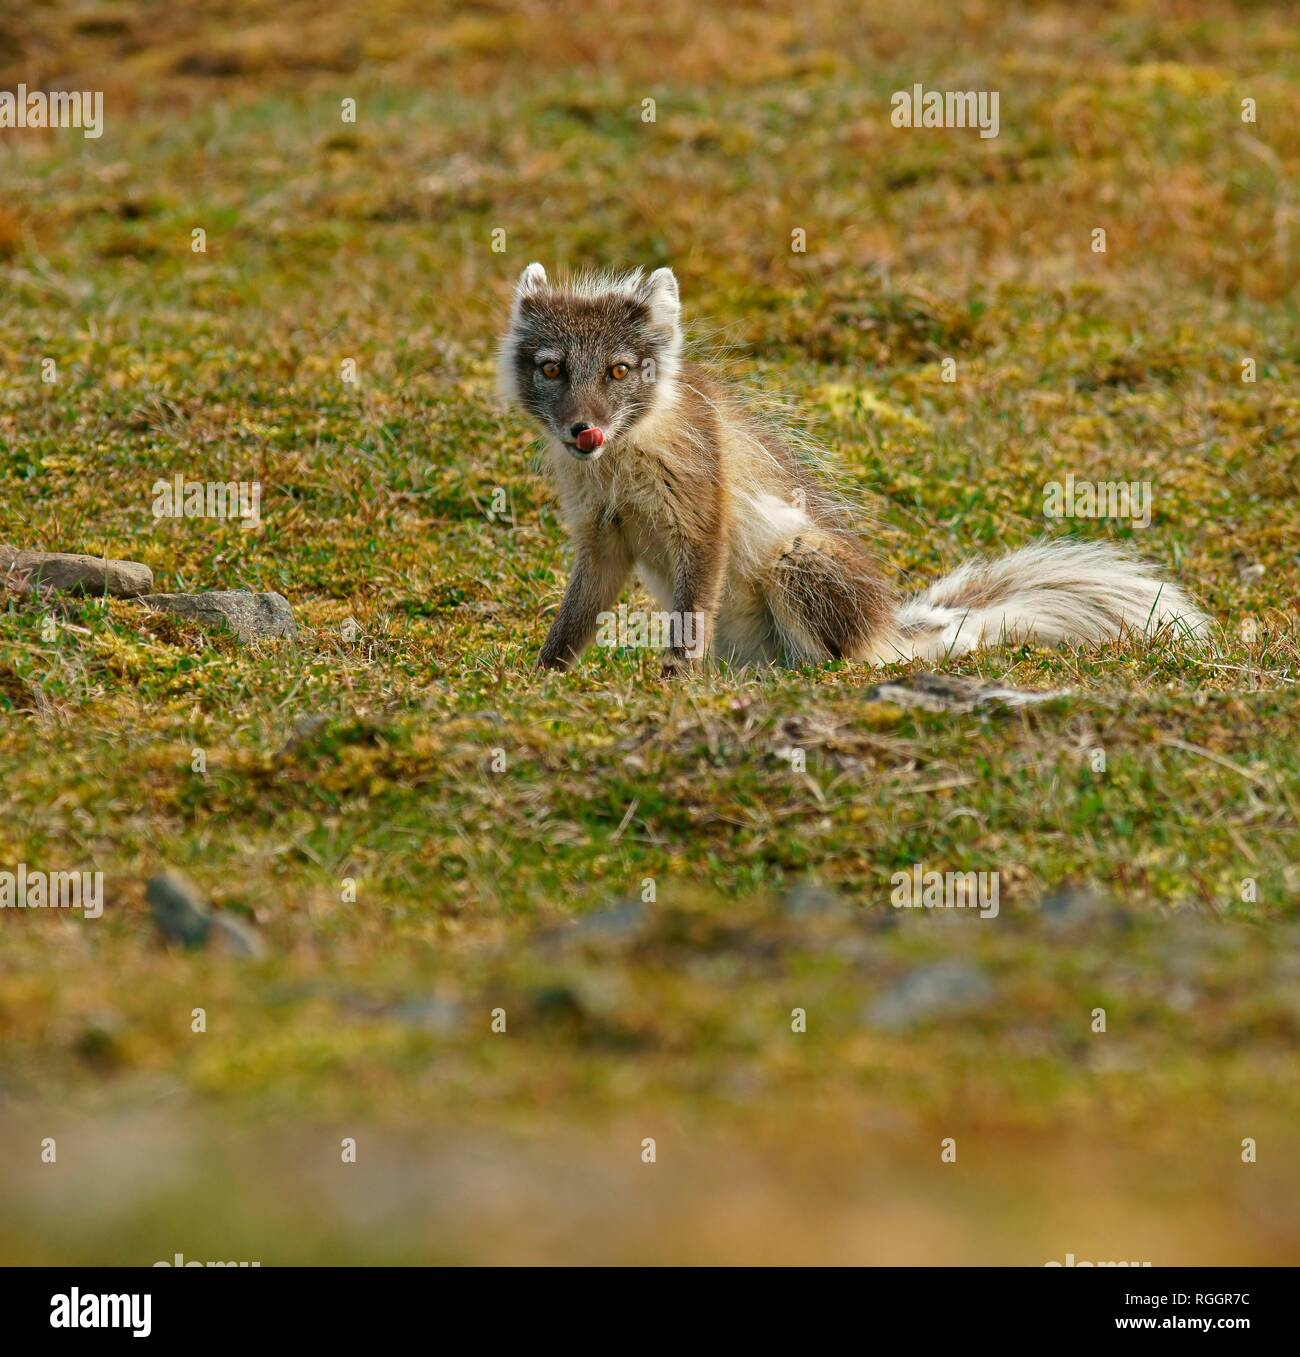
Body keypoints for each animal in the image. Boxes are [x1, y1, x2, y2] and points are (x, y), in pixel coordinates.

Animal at [498, 263, 1210, 675]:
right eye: (553, 368)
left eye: (620, 370)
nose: (583, 431)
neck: (620, 463)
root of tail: (886, 630)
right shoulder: (601, 538)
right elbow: (573, 619)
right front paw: (543, 679)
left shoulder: (701, 524)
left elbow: (689, 616)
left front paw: (675, 684)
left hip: (795, 556)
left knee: (841, 666)